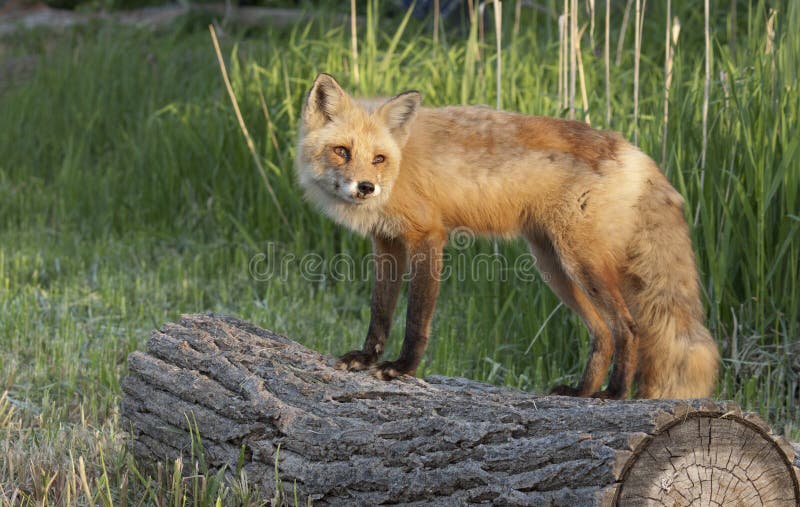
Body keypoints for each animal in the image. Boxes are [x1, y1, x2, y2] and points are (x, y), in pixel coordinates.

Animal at [294, 73, 719, 399]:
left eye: (378, 159)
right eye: (342, 151)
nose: (366, 188)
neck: (401, 164)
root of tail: (636, 152)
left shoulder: (427, 237)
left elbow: (416, 318)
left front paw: (402, 367)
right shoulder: (387, 245)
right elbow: (380, 312)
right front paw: (367, 358)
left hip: (581, 262)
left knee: (628, 329)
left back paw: (613, 395)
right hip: (554, 266)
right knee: (602, 333)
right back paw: (581, 392)